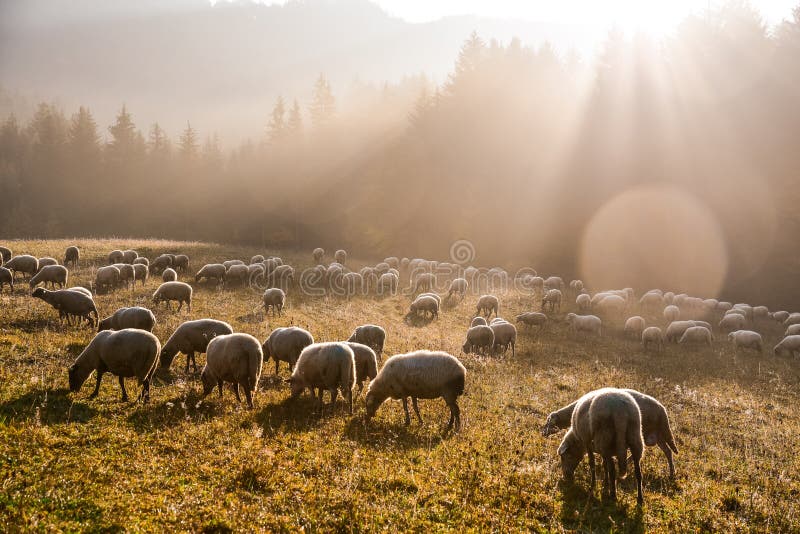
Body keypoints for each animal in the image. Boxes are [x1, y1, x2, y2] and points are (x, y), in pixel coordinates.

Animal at [544, 388, 676, 480]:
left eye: (548, 422)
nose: (543, 433)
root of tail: (662, 409)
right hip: (656, 435)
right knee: (667, 451)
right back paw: (671, 473)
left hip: (649, 432)